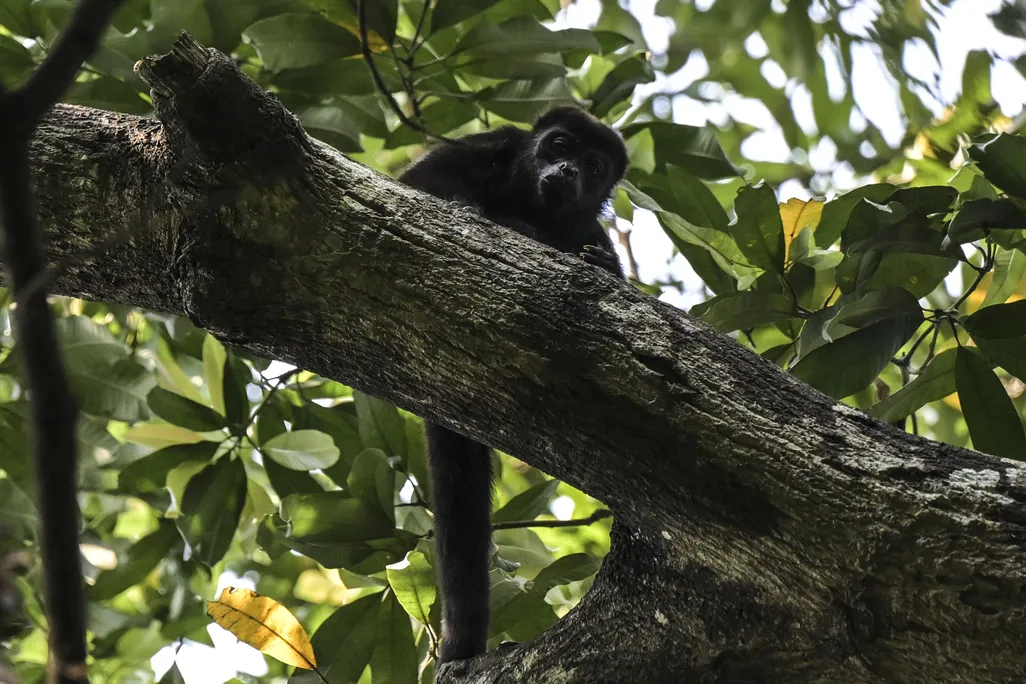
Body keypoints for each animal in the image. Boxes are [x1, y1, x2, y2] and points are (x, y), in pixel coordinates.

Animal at [397, 106, 628, 663]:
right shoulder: (490, 145)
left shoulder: (589, 227)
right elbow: (416, 183)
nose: (567, 170)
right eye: (559, 145)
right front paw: (480, 211)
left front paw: (594, 264)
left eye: (593, 167)